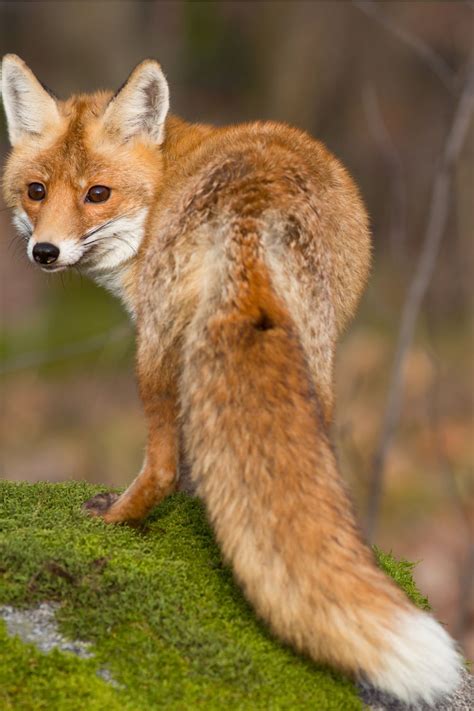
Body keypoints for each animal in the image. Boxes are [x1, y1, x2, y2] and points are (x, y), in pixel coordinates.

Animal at [1, 54, 463, 705]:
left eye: (98, 194)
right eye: (36, 190)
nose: (44, 251)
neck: (168, 172)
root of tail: (252, 209)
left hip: (154, 354)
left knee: (163, 466)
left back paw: (117, 519)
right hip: (314, 362)